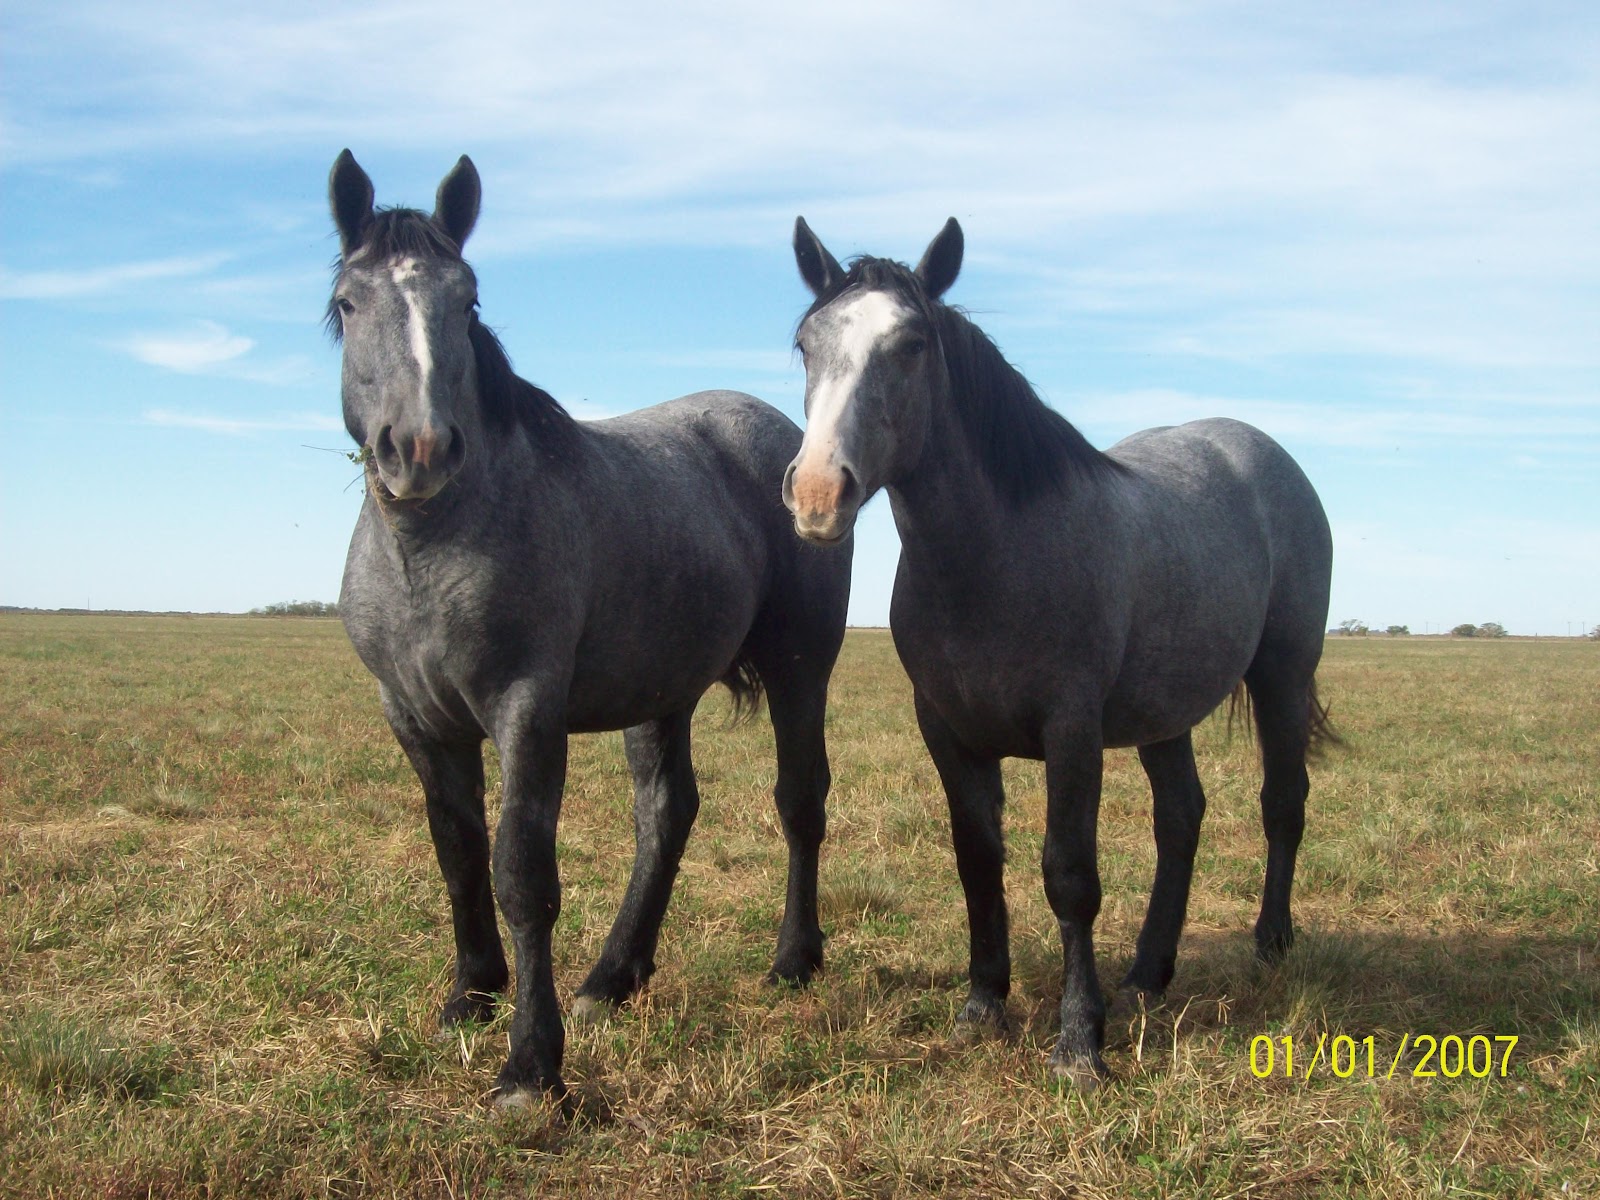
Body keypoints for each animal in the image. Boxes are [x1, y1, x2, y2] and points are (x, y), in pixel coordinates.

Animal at [325, 150, 852, 1102]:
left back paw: (793, 960)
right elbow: (457, 853)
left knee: (800, 801)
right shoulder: (415, 720)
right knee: (666, 811)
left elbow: (521, 873)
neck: (432, 547)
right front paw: (471, 996)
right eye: (350, 302)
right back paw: (615, 974)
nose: (419, 449)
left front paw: (531, 1066)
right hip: (662, 690)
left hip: (802, 669)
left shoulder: (526, 711)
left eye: (467, 301)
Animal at [782, 216, 1334, 1086]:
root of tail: (1260, 451)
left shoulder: (1072, 731)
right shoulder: (948, 733)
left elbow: (1069, 877)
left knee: (1283, 802)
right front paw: (983, 1006)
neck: (996, 557)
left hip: (1283, 675)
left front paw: (1079, 1042)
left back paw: (1269, 944)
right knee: (1182, 818)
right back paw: (1148, 971)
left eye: (911, 345)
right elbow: (978, 860)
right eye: (807, 343)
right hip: (1164, 713)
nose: (815, 495)